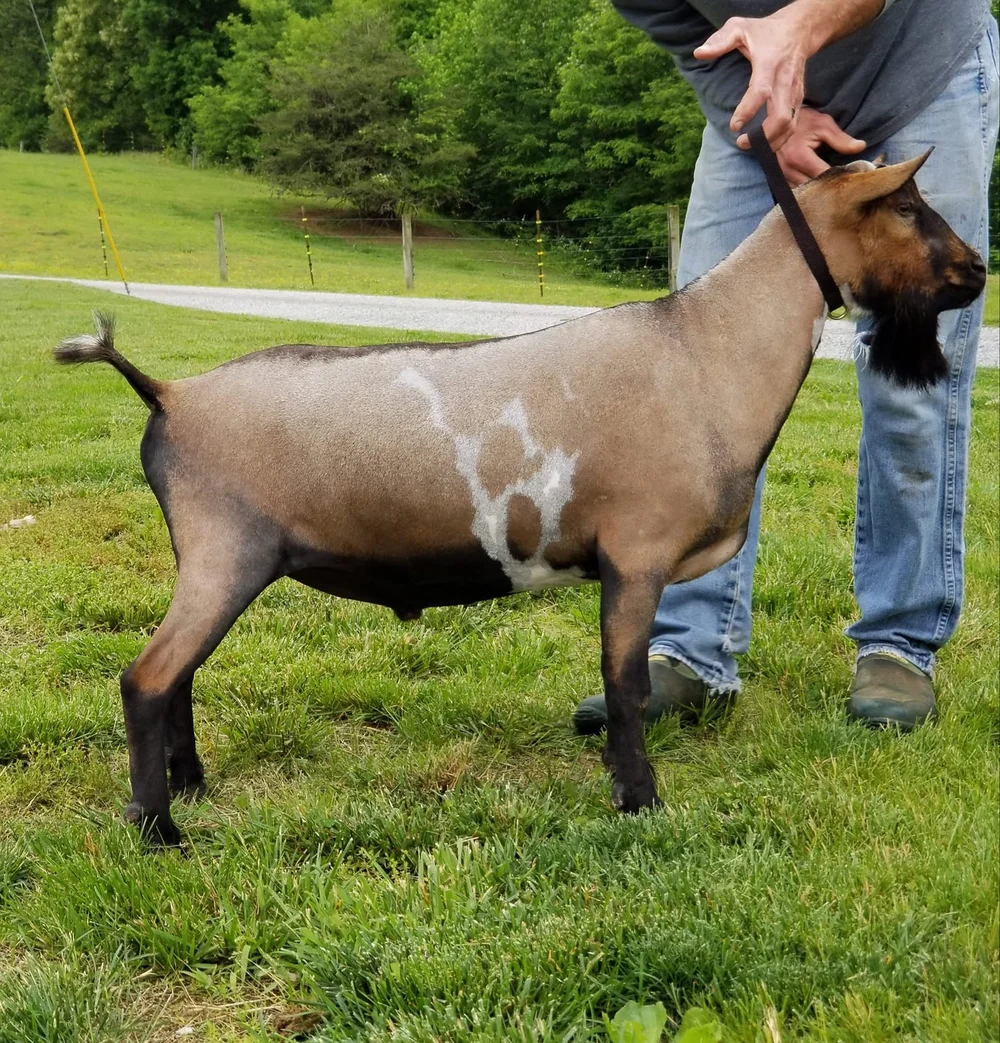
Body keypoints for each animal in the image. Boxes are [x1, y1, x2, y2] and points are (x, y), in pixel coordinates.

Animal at [55, 153, 985, 846]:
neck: (705, 352)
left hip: (212, 558)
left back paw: (192, 787)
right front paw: (640, 799)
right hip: (226, 551)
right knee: (148, 677)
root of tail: (169, 395)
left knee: (178, 674)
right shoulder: (637, 552)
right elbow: (623, 684)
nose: (977, 270)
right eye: (907, 207)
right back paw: (159, 828)